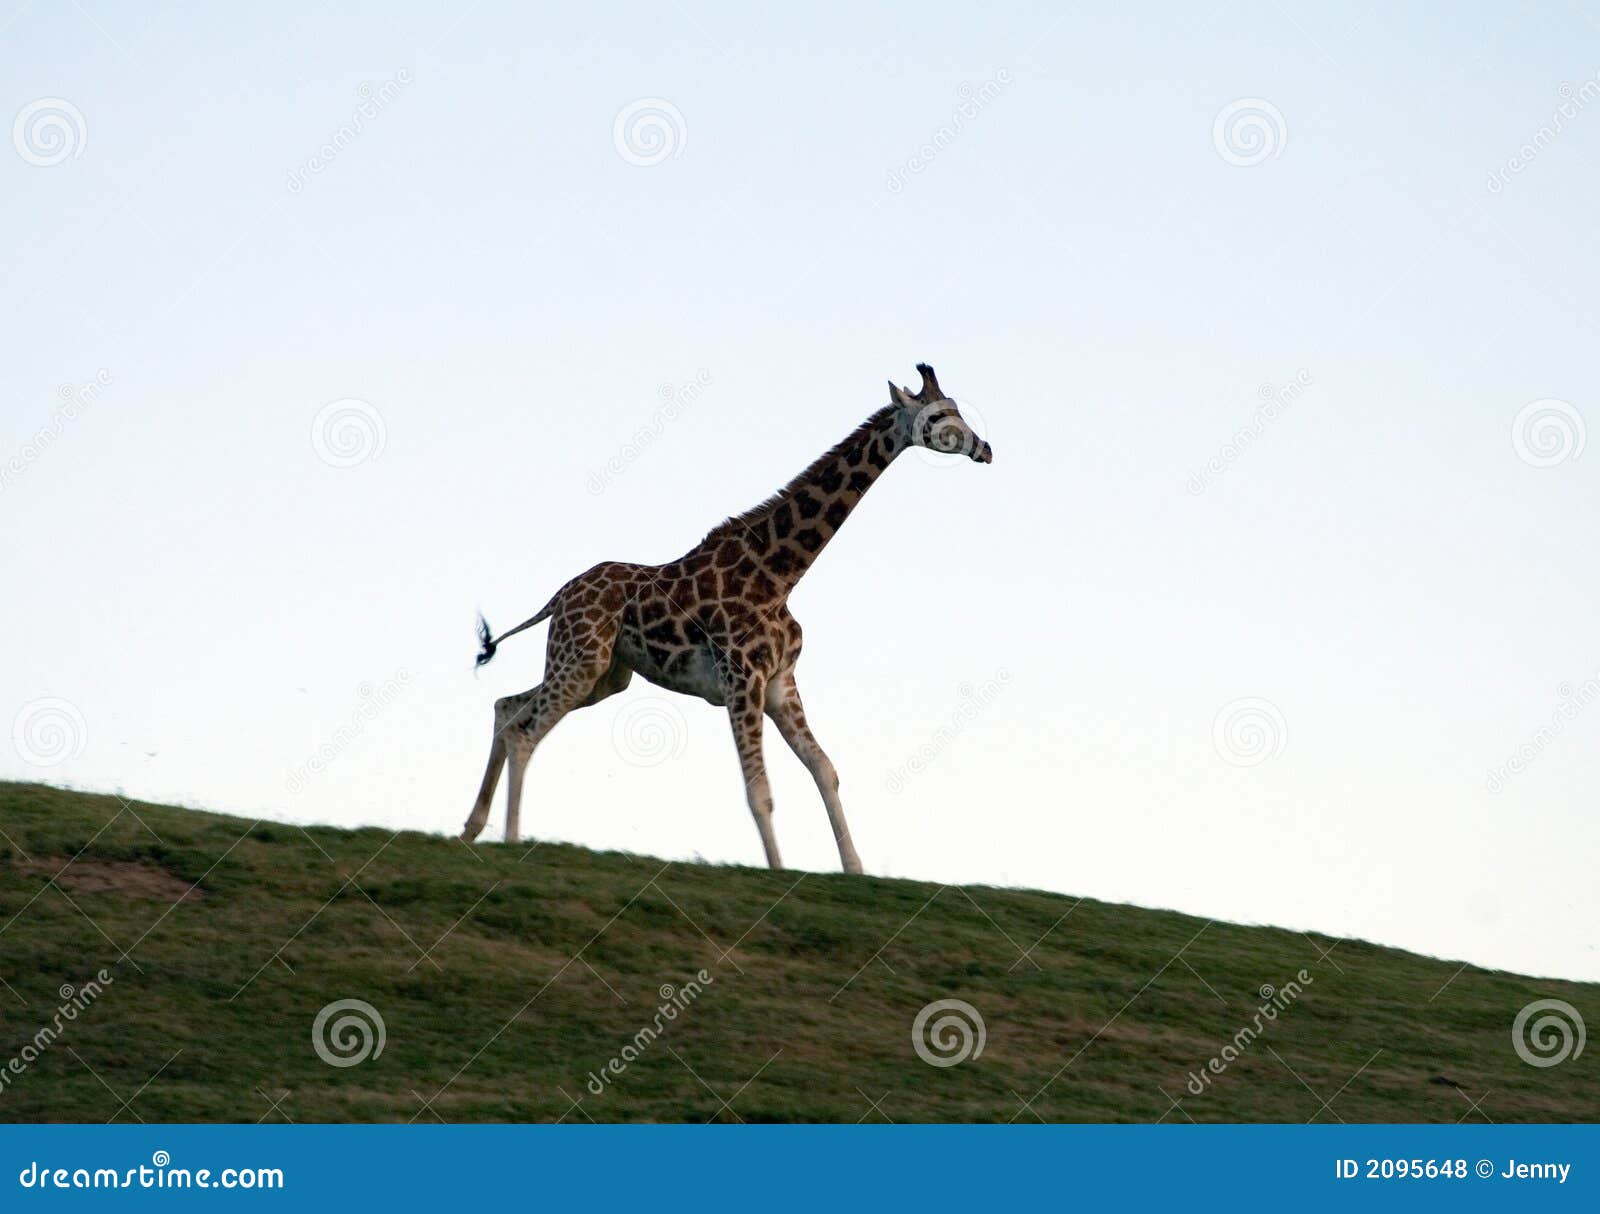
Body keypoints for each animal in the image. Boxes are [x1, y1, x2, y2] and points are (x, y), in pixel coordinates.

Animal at [460, 363, 992, 872]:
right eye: (938, 416)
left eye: (956, 408)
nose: (984, 448)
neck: (780, 575)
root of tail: (559, 596)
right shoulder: (743, 680)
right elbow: (760, 792)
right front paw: (778, 872)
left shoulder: (779, 683)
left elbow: (825, 769)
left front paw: (855, 869)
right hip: (582, 658)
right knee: (525, 732)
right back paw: (511, 840)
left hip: (605, 675)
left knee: (507, 709)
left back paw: (472, 828)